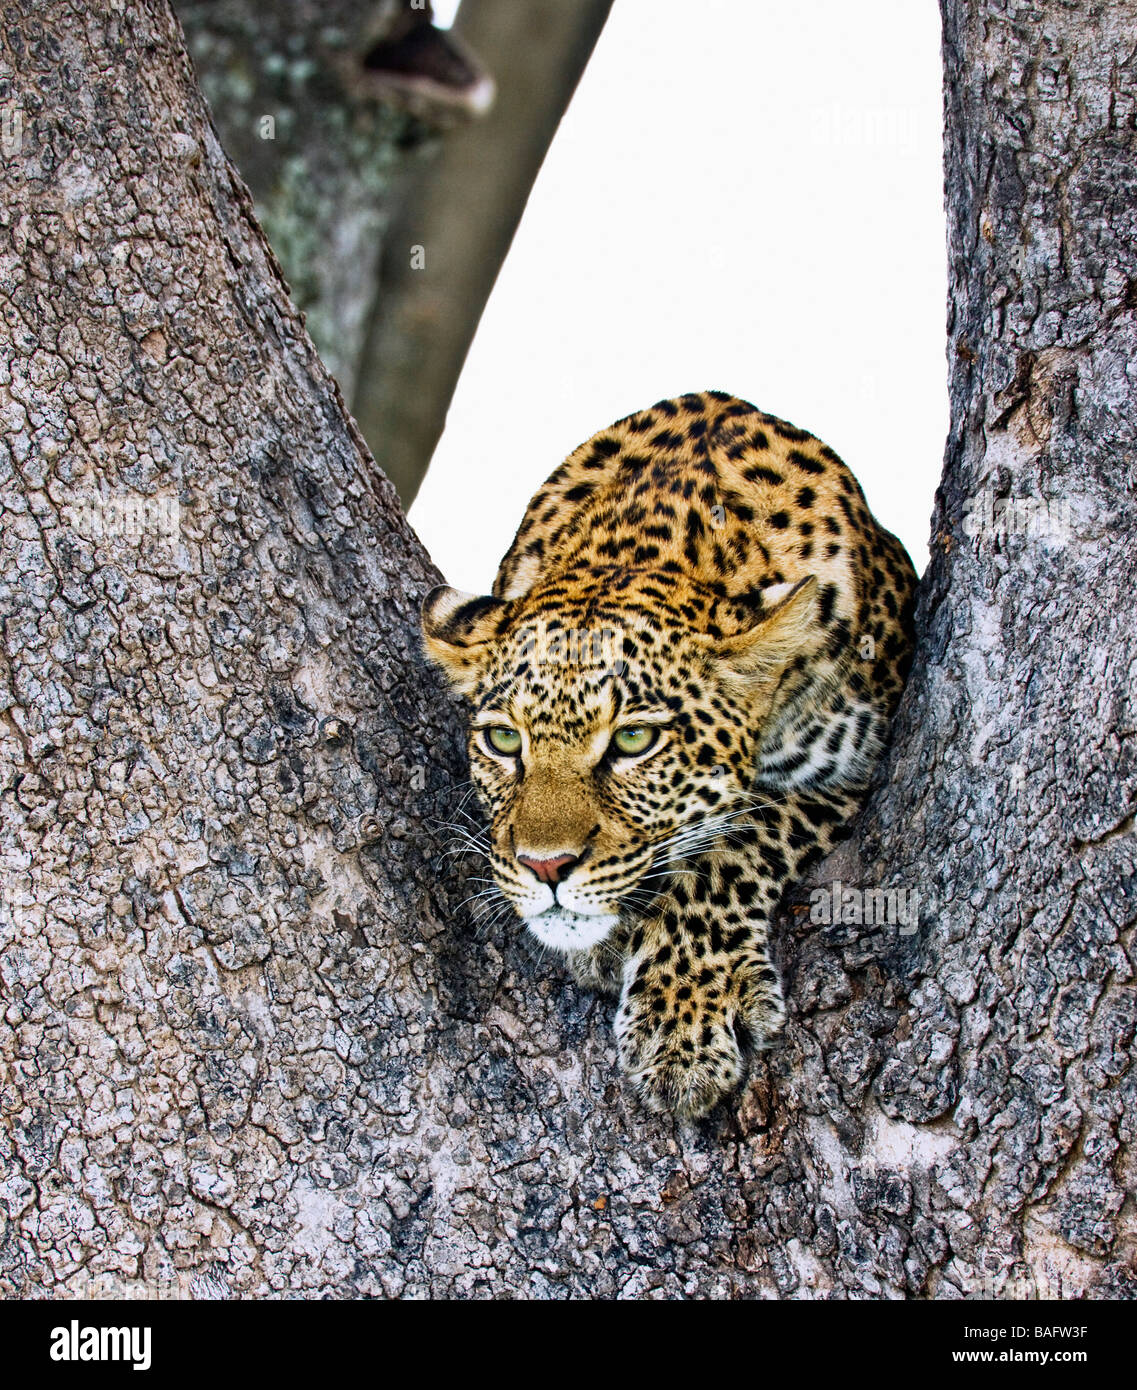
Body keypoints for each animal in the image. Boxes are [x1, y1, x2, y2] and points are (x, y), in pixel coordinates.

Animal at [422, 391, 916, 1118]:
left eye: (633, 740)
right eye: (505, 741)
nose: (545, 867)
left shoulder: (853, 763)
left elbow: (734, 845)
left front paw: (680, 1020)